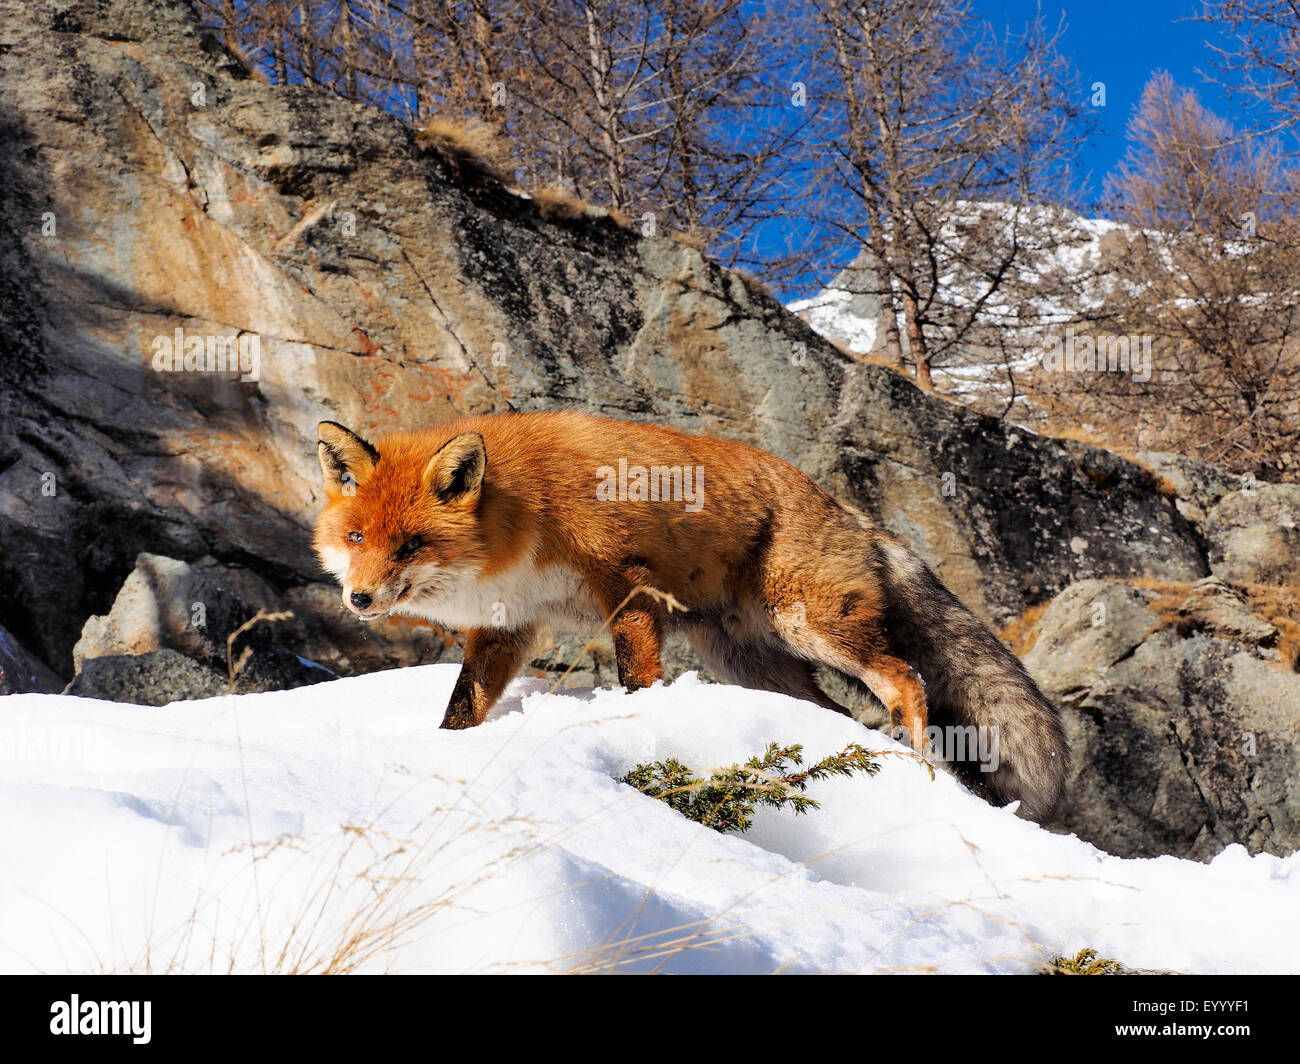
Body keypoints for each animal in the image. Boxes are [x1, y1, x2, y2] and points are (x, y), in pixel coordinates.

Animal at [313, 410, 1068, 820]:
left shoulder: (627, 582)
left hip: (811, 625)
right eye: (357, 538)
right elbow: (461, 710)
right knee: (835, 713)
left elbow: (636, 674)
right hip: (747, 662)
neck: (523, 521)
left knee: (906, 678)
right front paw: (442, 753)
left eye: (411, 545)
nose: (360, 600)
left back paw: (918, 764)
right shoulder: (510, 624)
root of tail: (850, 512)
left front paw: (645, 730)